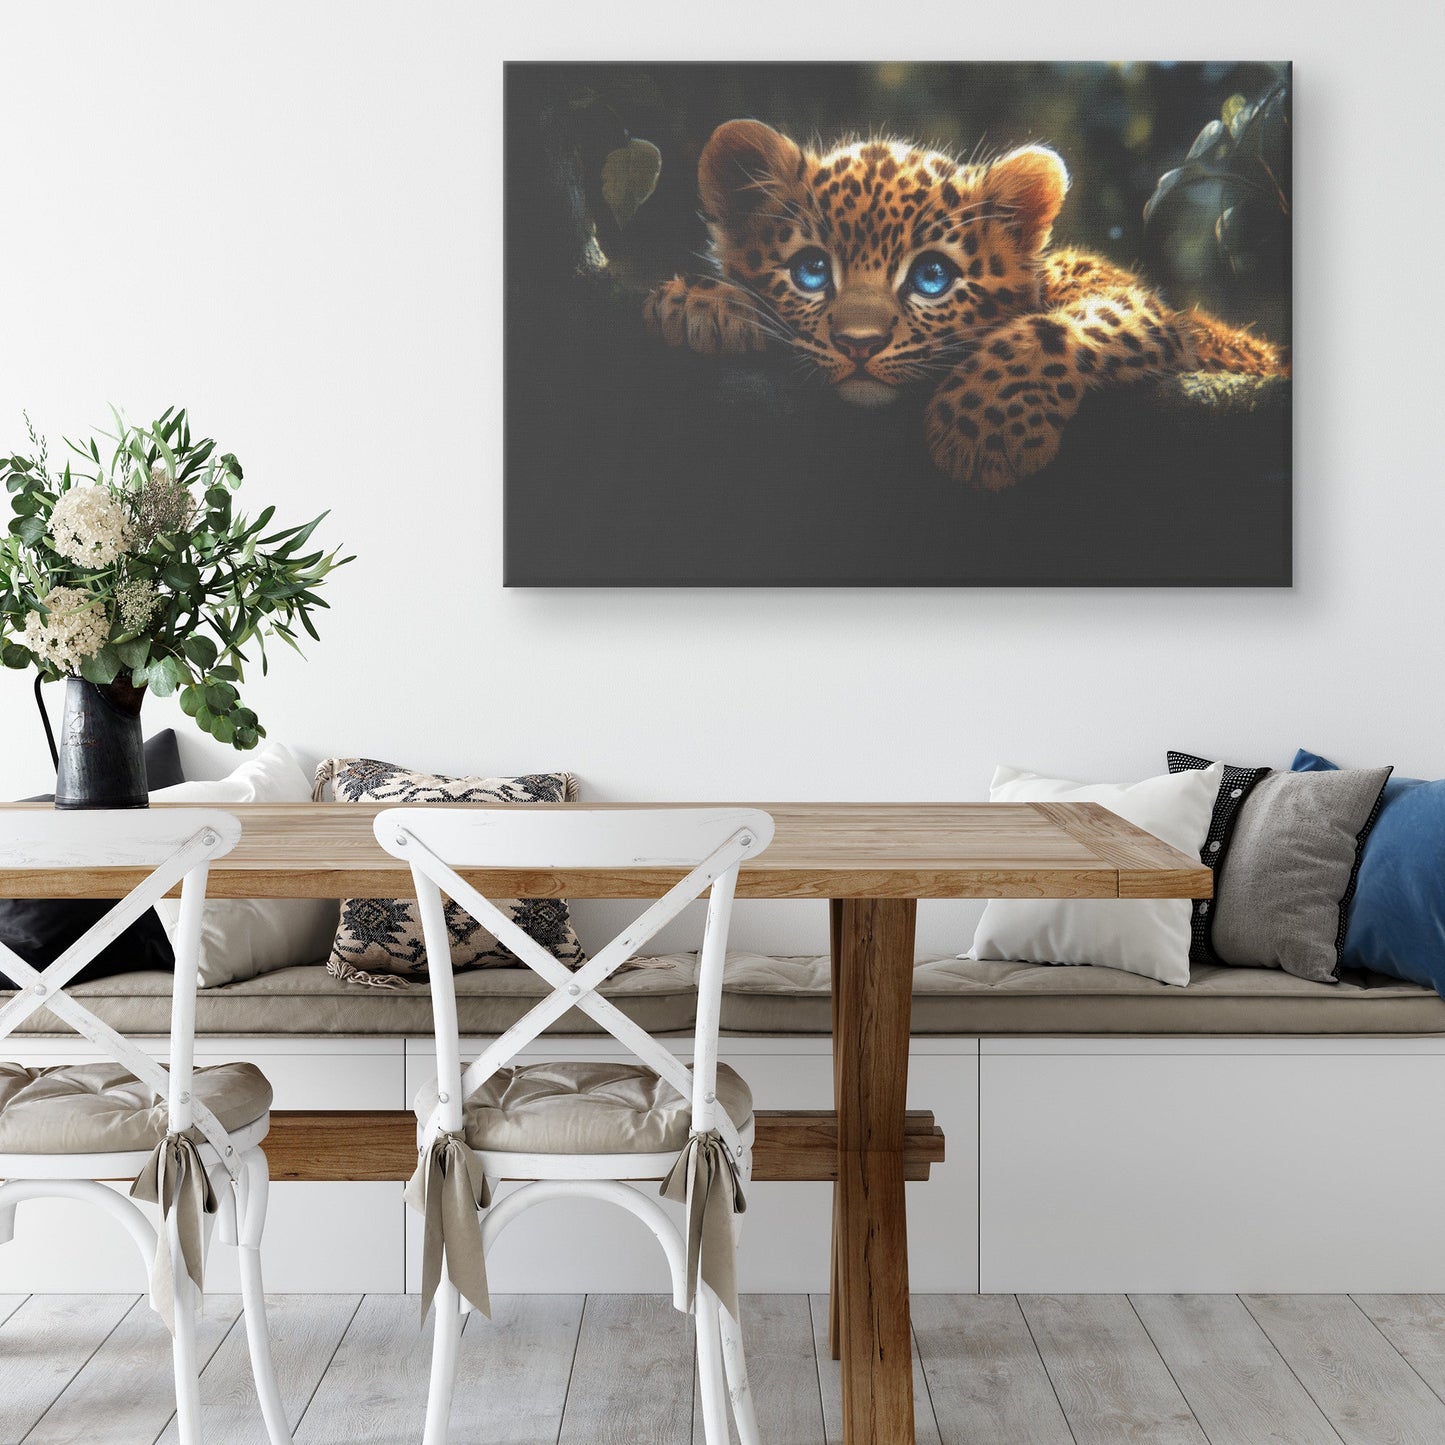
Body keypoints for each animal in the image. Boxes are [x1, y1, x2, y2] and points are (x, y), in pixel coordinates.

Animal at [643, 118, 1287, 490]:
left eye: (932, 277)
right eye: (810, 271)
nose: (859, 345)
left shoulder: (1156, 316)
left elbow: (1061, 324)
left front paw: (983, 428)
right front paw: (700, 302)